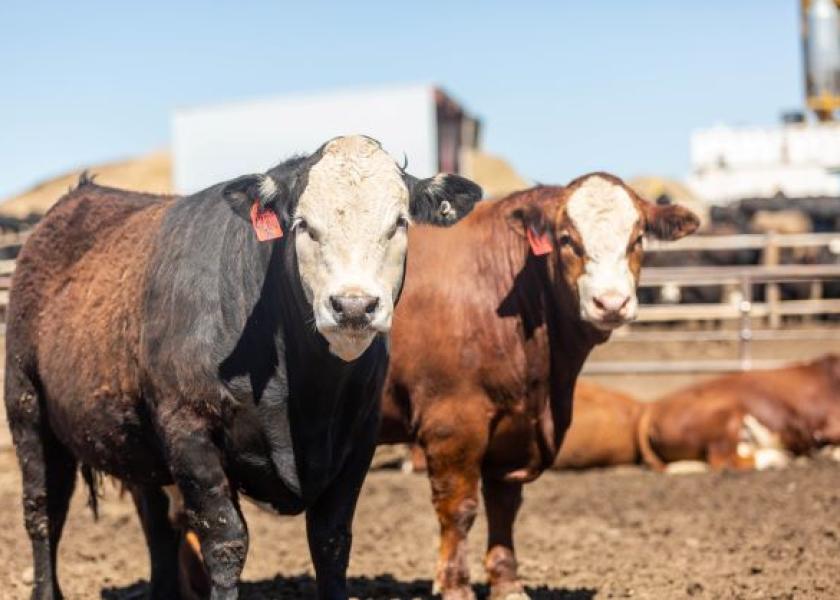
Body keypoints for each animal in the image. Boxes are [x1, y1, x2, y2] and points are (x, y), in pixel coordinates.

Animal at [4, 135, 482, 600]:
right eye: (303, 225)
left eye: (399, 222)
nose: (353, 306)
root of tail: (79, 195)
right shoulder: (189, 429)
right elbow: (225, 540)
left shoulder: (359, 437)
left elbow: (331, 542)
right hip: (27, 407)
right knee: (43, 512)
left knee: (155, 522)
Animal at [377, 173, 699, 600]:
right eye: (566, 239)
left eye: (638, 238)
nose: (611, 303)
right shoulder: (452, 422)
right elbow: (459, 509)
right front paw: (455, 586)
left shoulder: (513, 429)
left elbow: (504, 508)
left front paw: (508, 584)